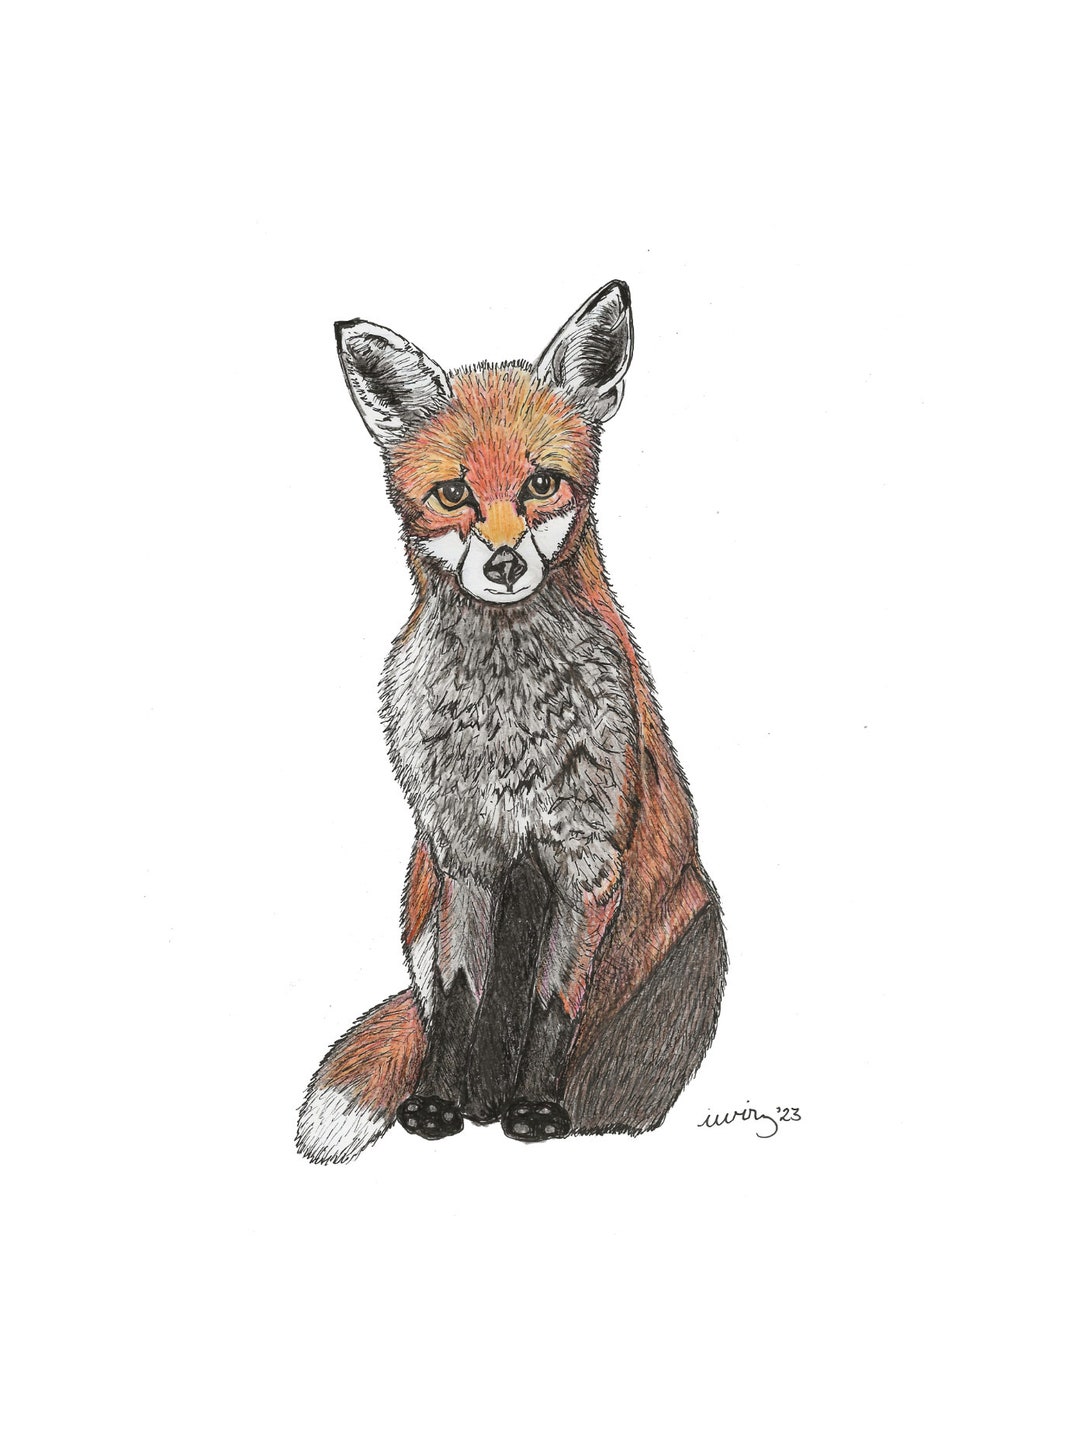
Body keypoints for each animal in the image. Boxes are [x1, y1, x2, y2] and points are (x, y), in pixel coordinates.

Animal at [296, 280, 728, 1159]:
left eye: (541, 484)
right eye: (454, 494)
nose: (502, 565)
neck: (508, 727)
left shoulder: (586, 862)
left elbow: (551, 1002)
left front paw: (536, 1109)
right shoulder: (466, 852)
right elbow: (462, 995)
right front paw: (435, 1104)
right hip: (419, 903)